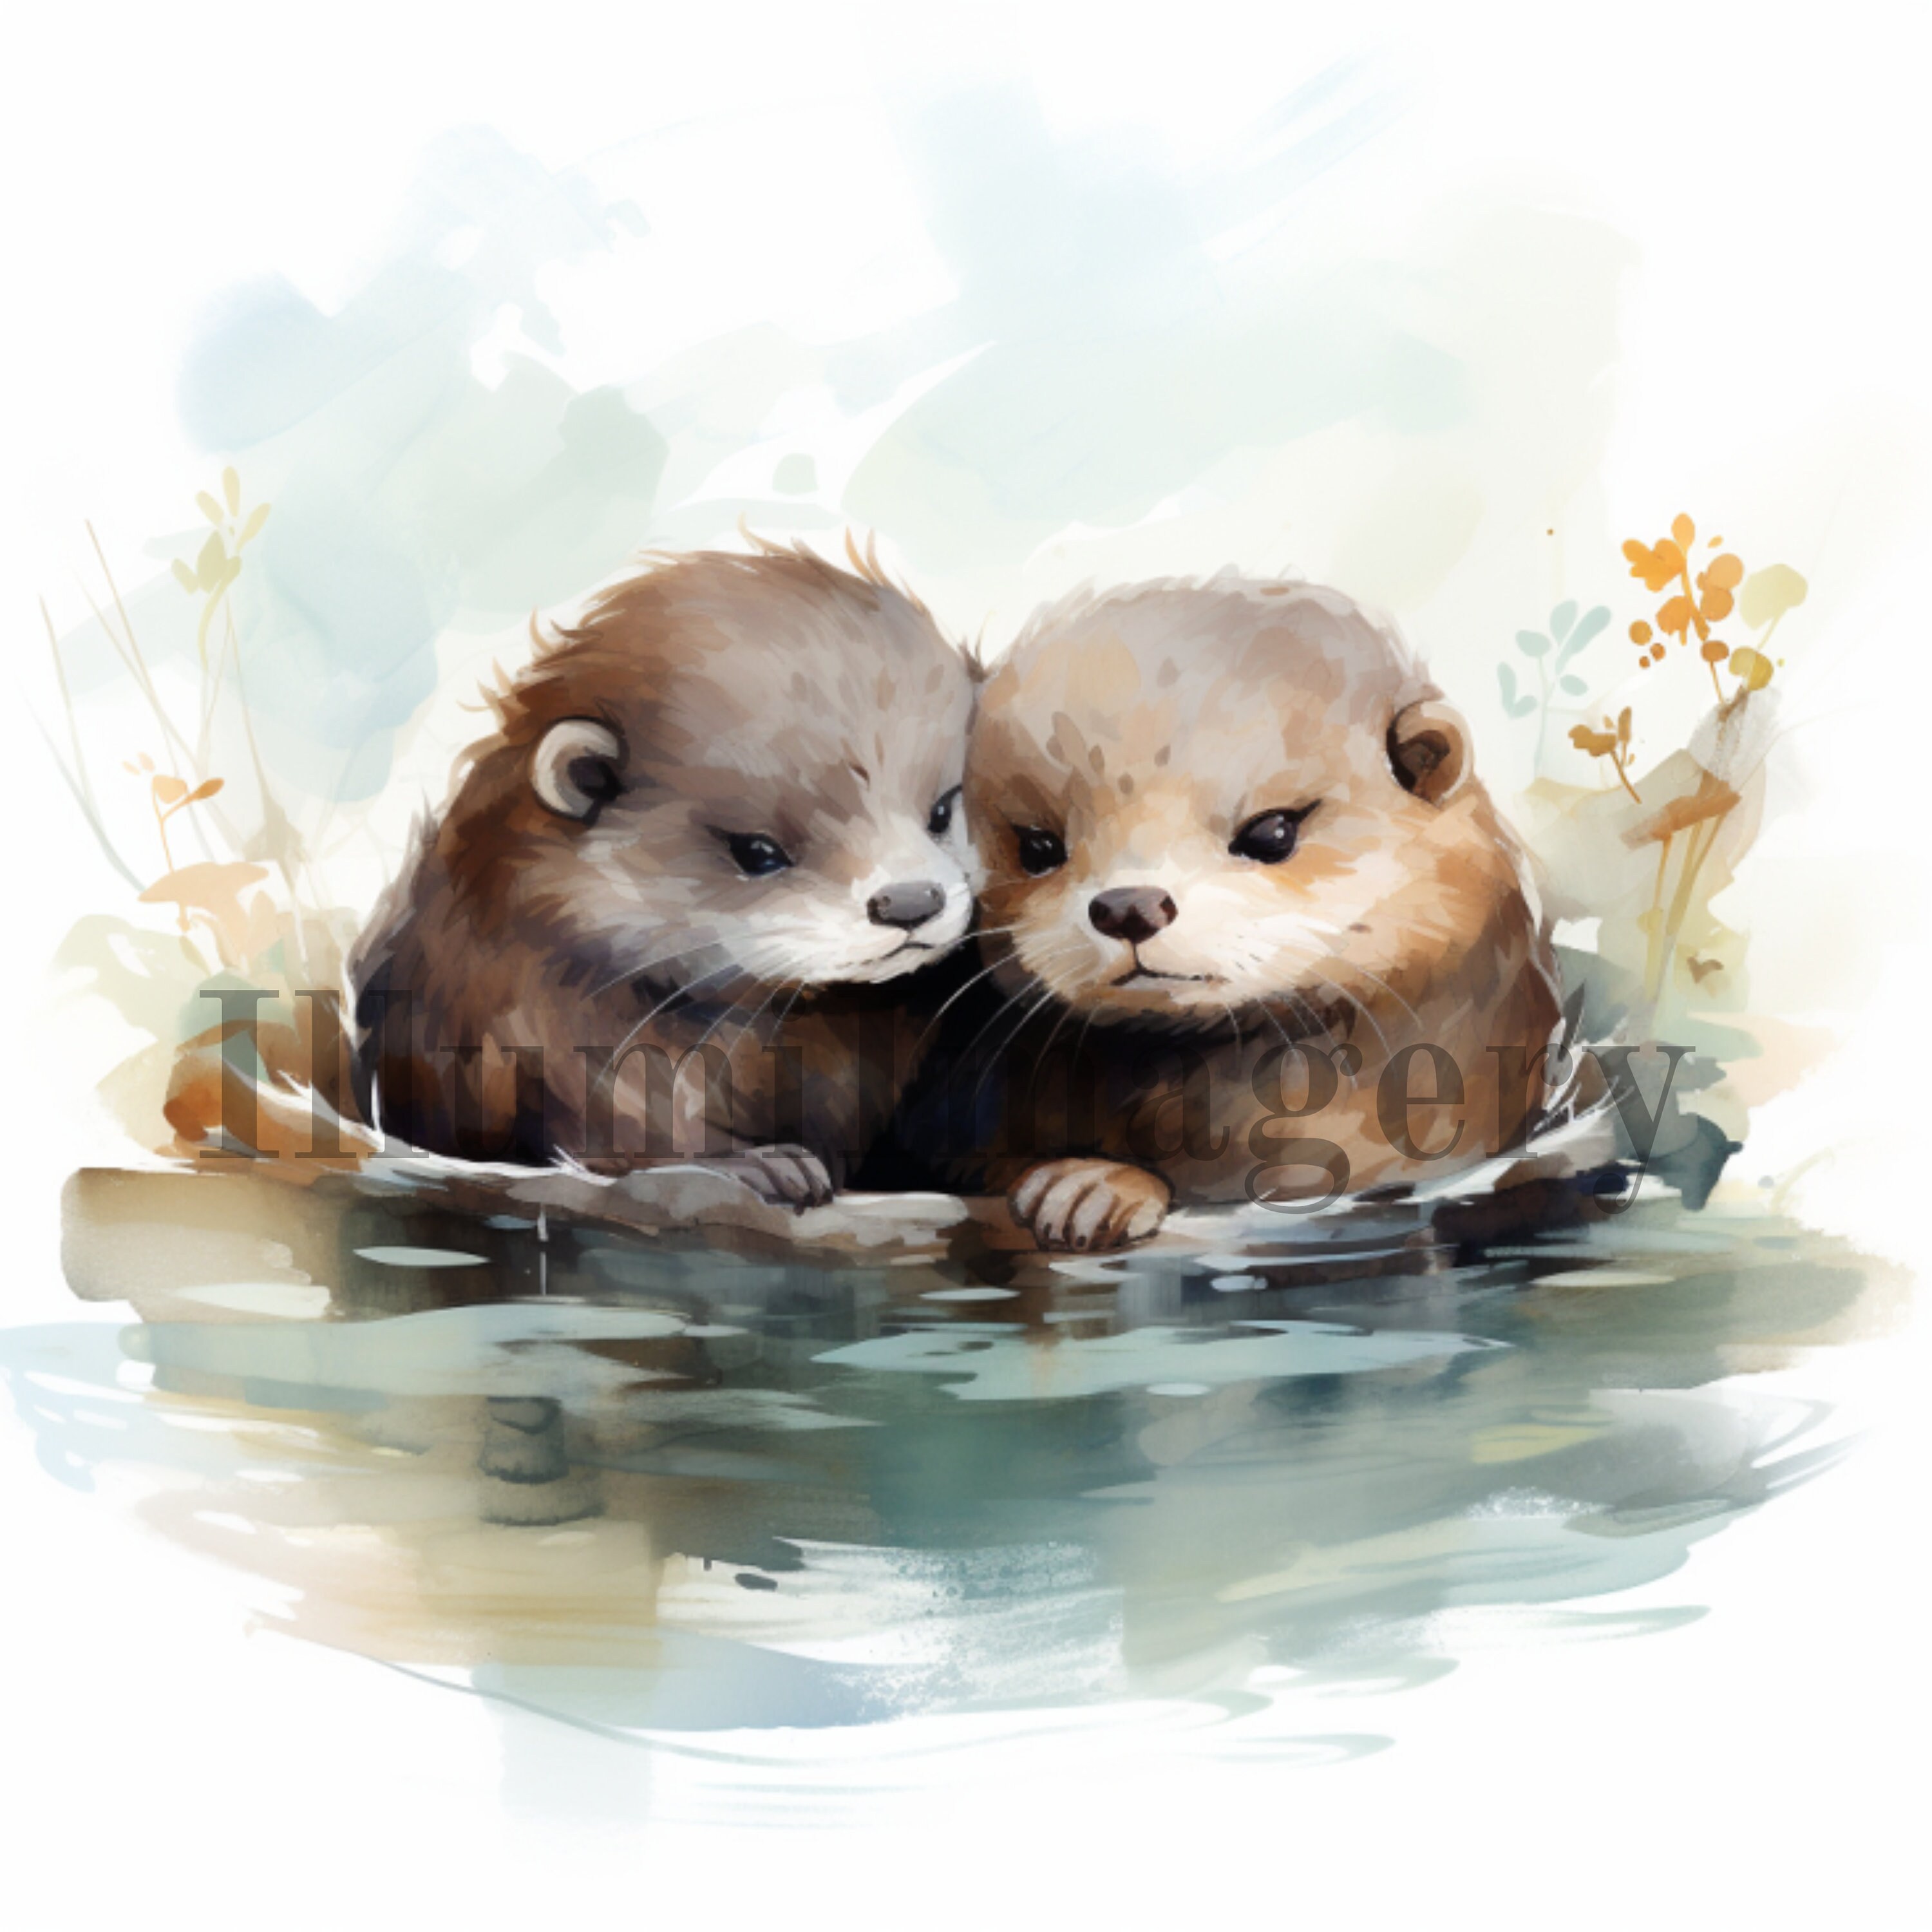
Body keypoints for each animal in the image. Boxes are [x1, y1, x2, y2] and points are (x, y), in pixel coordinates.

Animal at [348, 543, 979, 1206]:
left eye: (942, 811)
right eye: (758, 851)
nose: (910, 902)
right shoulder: (534, 1025)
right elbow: (620, 1128)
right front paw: (751, 1164)